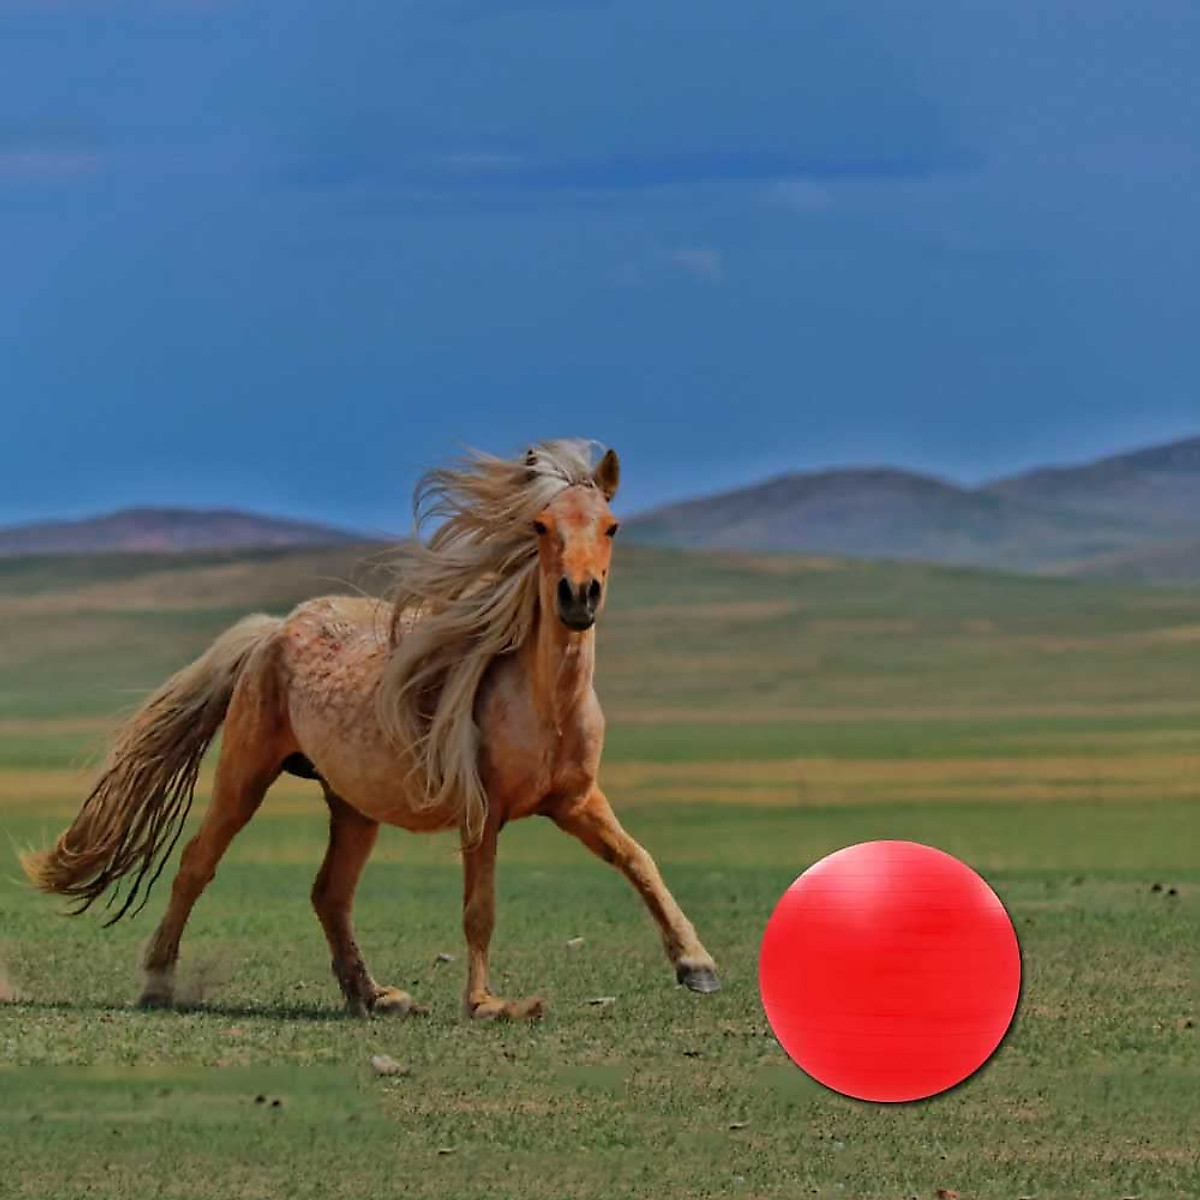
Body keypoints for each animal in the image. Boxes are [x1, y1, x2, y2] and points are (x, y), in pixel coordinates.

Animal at [22, 439, 720, 1020]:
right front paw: (487, 1005)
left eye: (611, 525)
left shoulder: (575, 801)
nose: (579, 596)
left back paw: (375, 996)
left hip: (353, 805)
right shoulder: (483, 812)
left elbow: (638, 860)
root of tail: (273, 630)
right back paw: (159, 983)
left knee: (330, 894)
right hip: (245, 774)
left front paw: (697, 964)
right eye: (540, 526)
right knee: (197, 864)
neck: (543, 707)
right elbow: (480, 909)